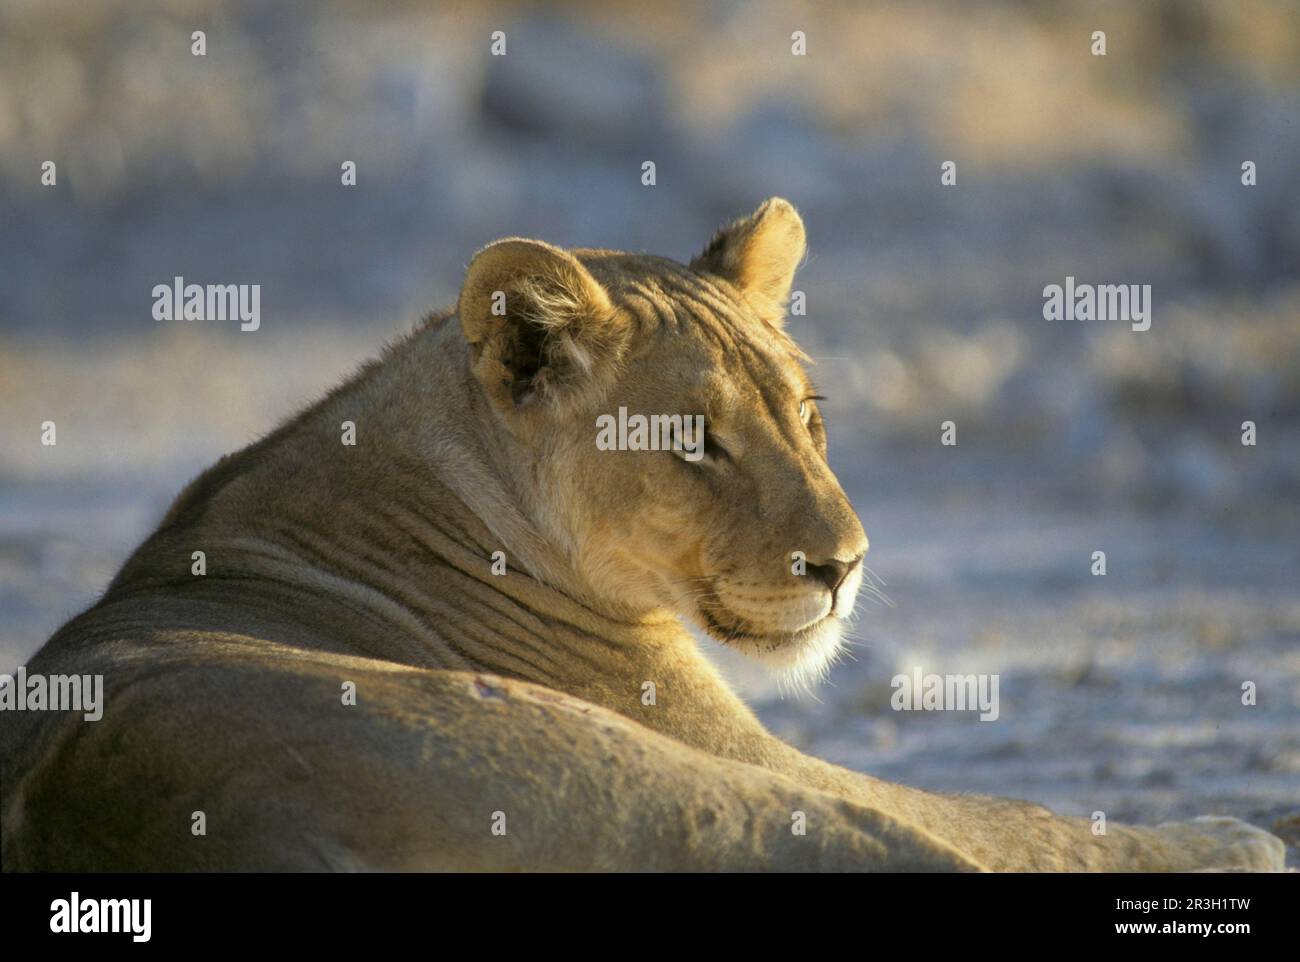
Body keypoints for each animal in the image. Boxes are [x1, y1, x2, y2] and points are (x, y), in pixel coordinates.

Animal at [0, 198, 1284, 871]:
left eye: (809, 416)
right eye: (694, 441)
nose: (846, 564)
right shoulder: (733, 750)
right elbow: (1008, 813)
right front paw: (1220, 828)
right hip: (648, 777)